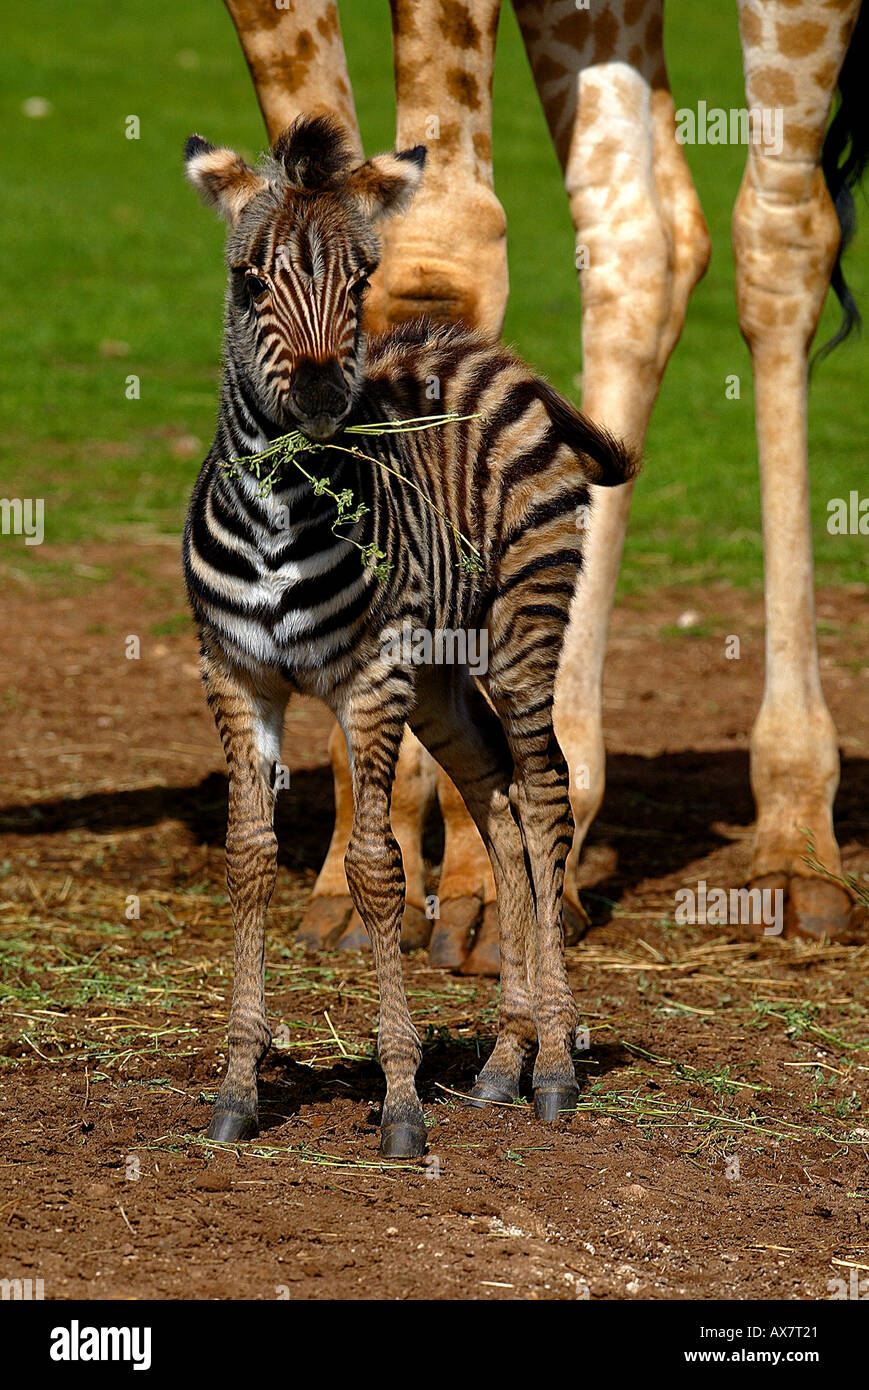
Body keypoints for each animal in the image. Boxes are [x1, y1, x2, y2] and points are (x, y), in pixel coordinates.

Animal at [183, 115, 638, 1158]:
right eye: (248, 281)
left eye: (360, 283)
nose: (320, 404)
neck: (283, 508)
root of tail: (490, 354)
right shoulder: (236, 677)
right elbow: (248, 854)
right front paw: (235, 1088)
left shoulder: (369, 682)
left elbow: (376, 867)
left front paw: (397, 1102)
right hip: (440, 677)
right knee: (499, 805)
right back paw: (505, 1061)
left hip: (519, 633)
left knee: (543, 798)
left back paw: (554, 1067)